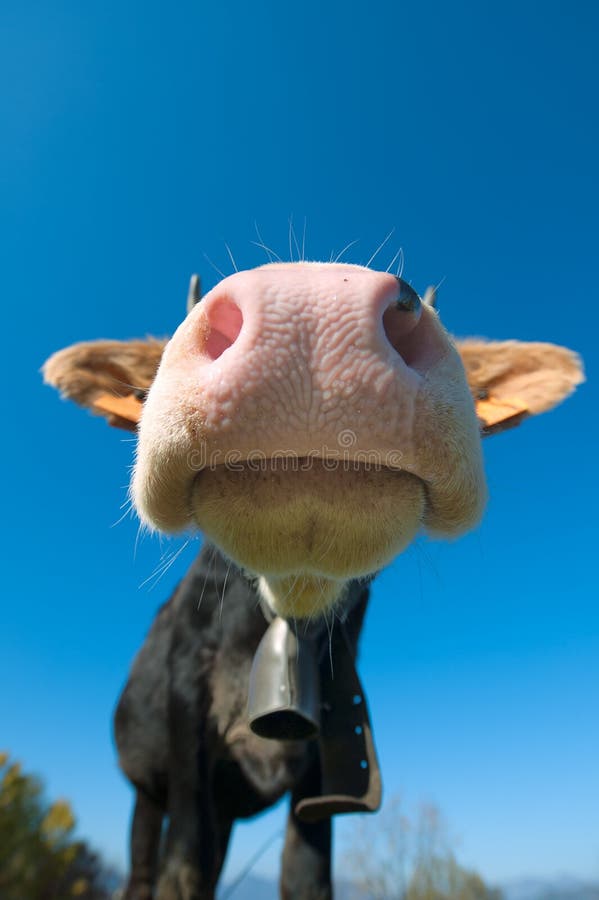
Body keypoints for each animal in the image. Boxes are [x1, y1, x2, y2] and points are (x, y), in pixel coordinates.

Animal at [43, 262, 584, 900]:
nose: (311, 301)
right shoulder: (184, 721)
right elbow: (183, 869)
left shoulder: (326, 758)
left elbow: (305, 877)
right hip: (148, 795)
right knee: (147, 870)